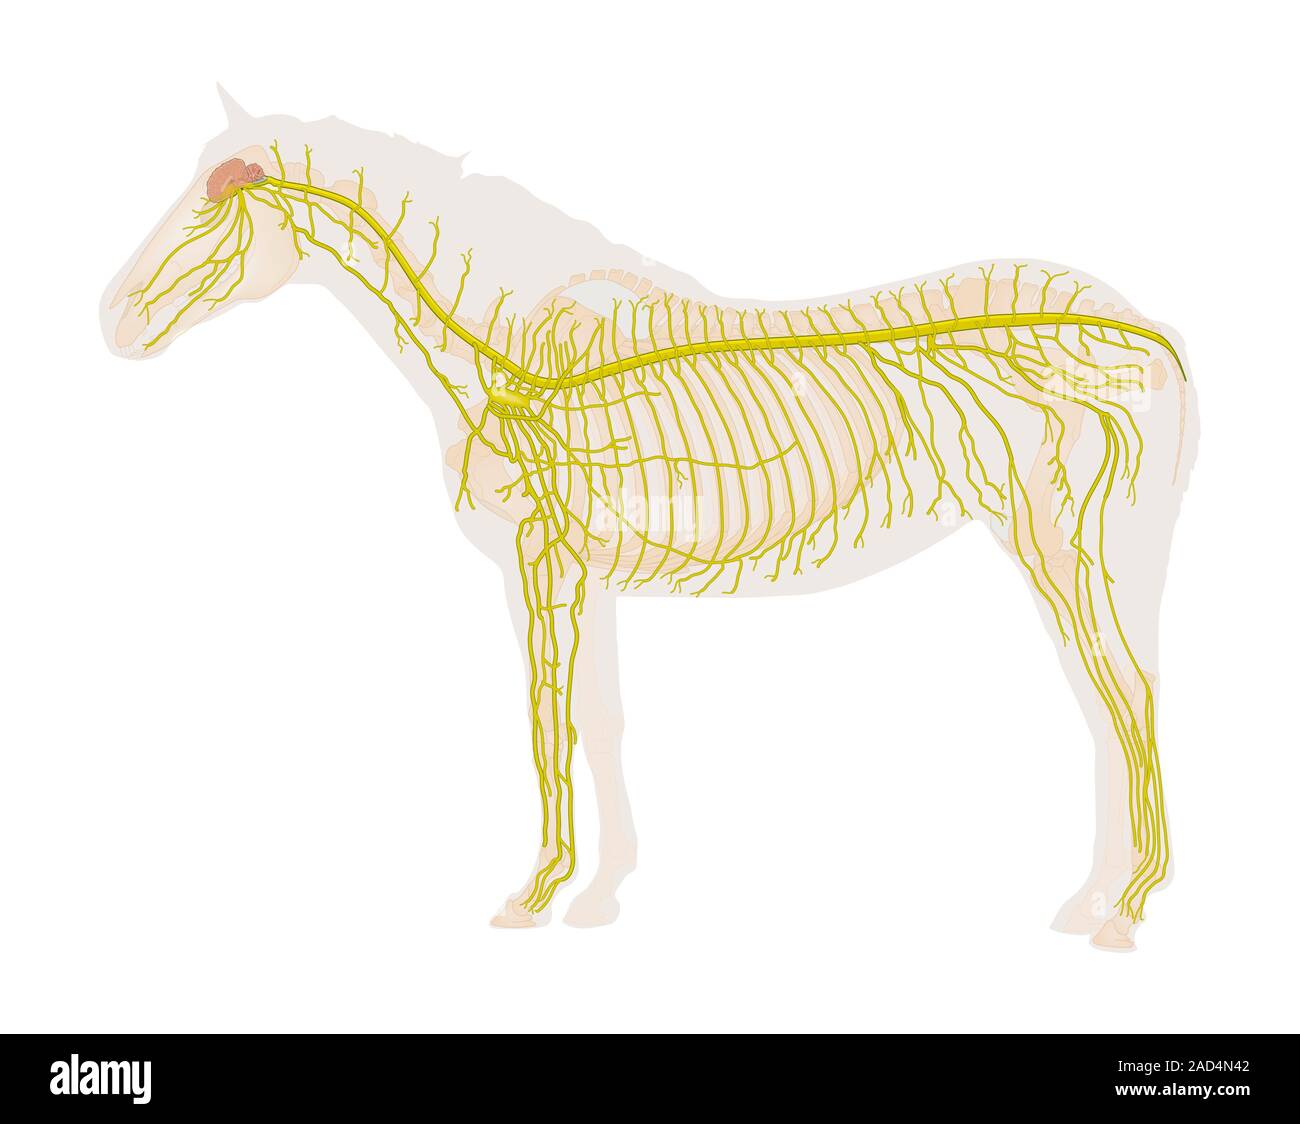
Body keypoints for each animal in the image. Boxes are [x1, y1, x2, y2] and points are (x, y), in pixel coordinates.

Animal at [101, 91, 1197, 949]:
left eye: (216, 200)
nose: (113, 318)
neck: (513, 353)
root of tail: (1130, 321)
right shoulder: (582, 568)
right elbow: (598, 715)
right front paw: (595, 894)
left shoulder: (541, 557)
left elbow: (546, 718)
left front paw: (534, 892)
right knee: (1106, 697)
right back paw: (1094, 900)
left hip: (1064, 534)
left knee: (1126, 692)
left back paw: (1128, 908)